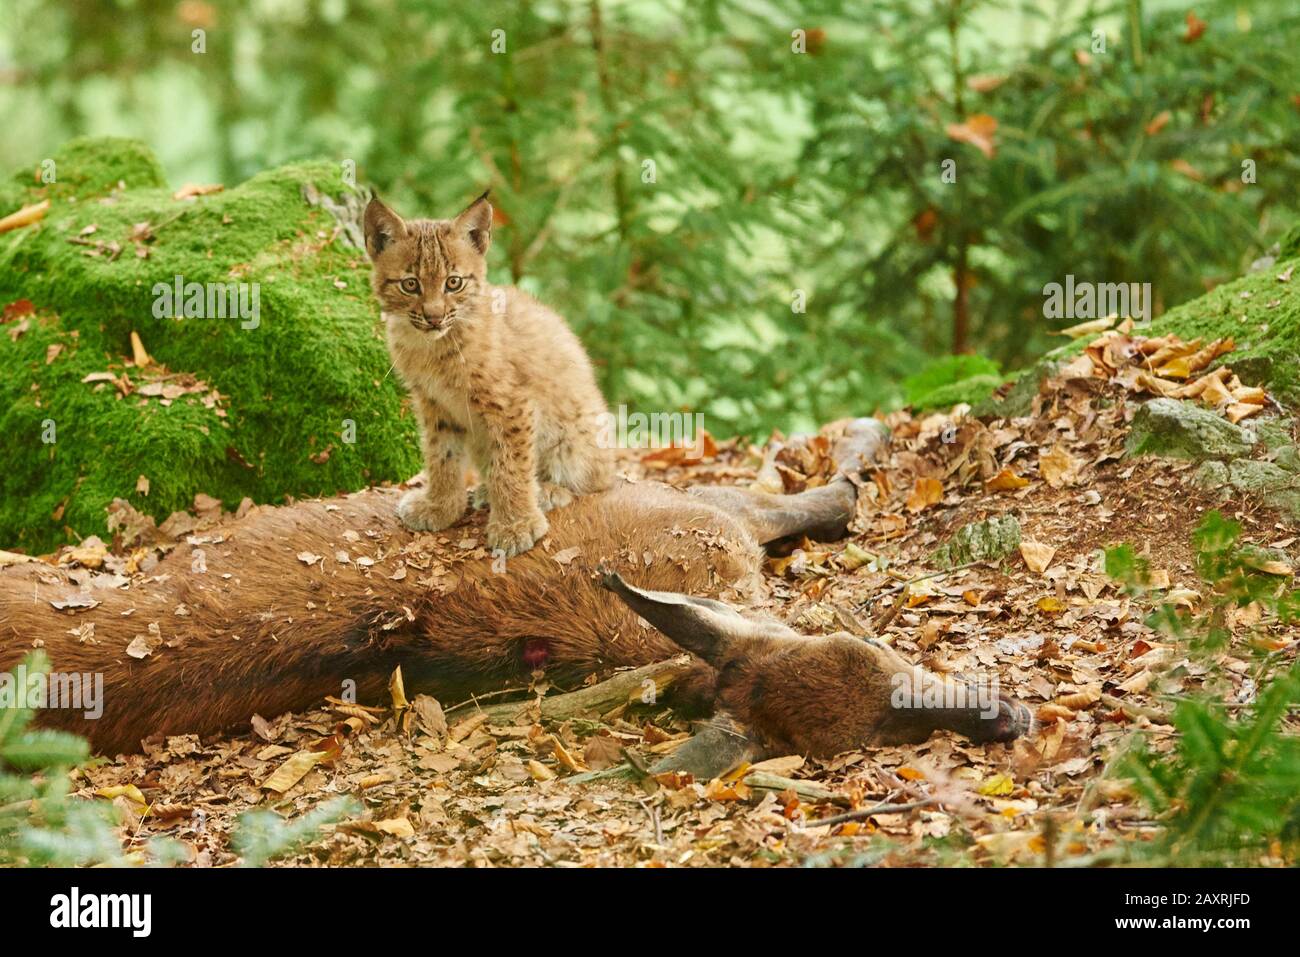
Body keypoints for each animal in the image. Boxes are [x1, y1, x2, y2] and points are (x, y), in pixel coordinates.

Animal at [0, 419, 1030, 772]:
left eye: (888, 659)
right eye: (881, 712)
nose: (1007, 714)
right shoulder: (692, 513)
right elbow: (808, 499)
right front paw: (861, 449)